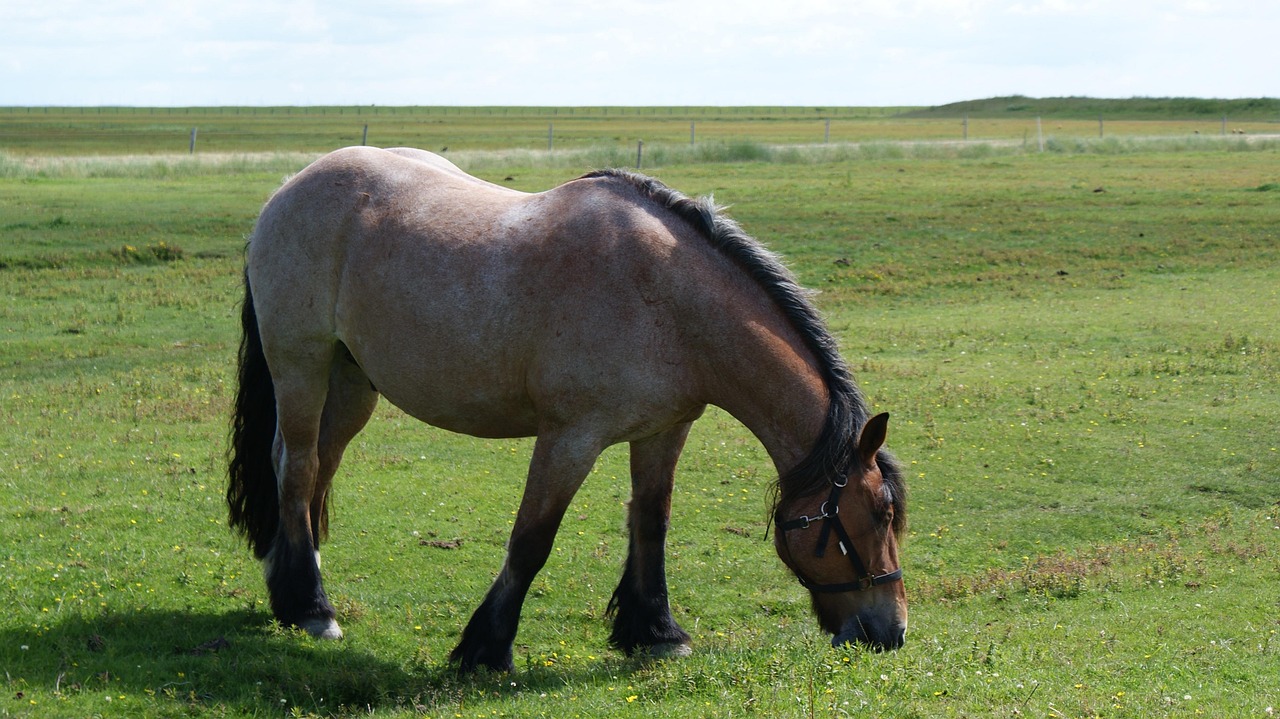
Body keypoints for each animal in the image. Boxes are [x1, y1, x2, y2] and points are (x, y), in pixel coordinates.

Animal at [227, 147, 908, 672]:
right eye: (874, 516)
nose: (891, 633)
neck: (665, 298)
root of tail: (290, 187)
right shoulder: (570, 438)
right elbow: (532, 539)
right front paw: (485, 648)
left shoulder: (665, 431)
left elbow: (651, 523)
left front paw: (655, 632)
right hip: (302, 365)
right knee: (299, 467)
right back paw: (311, 607)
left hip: (350, 383)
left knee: (312, 465)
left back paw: (292, 582)